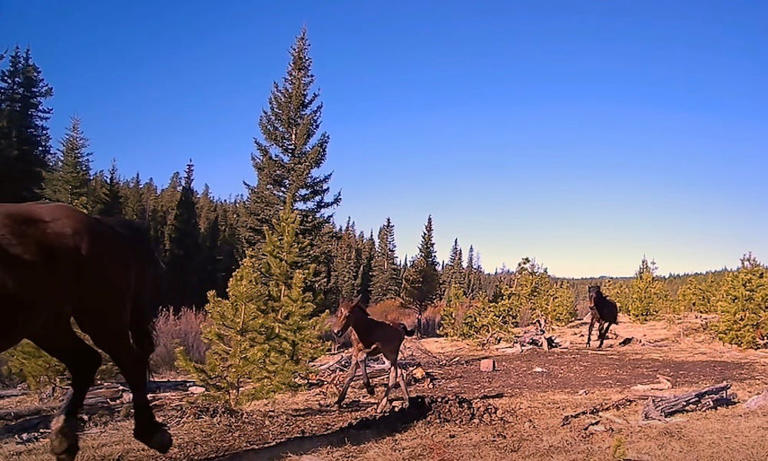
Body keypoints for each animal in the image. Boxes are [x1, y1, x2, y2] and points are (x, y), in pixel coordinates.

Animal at [0, 202, 172, 460]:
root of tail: (104, 225)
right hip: (46, 325)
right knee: (86, 360)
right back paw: (64, 440)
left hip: (98, 316)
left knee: (127, 361)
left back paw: (151, 433)